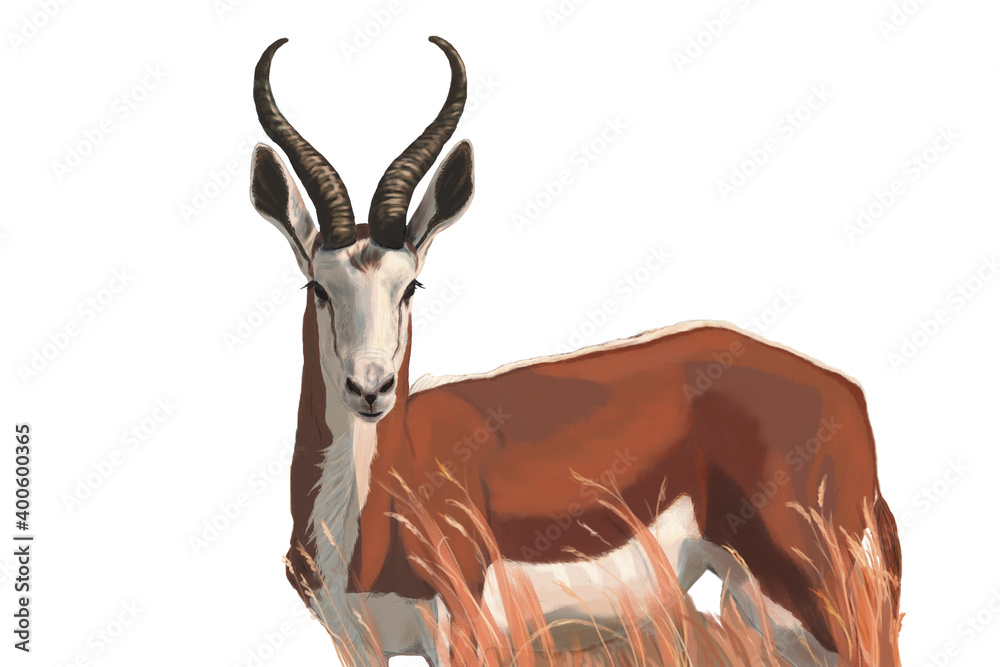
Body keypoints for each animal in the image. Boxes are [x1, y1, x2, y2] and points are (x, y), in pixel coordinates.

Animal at [248, 36, 901, 666]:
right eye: (318, 287)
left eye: (410, 286)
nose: (371, 387)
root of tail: (849, 392)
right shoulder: (355, 641)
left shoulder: (462, 635)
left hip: (813, 601)